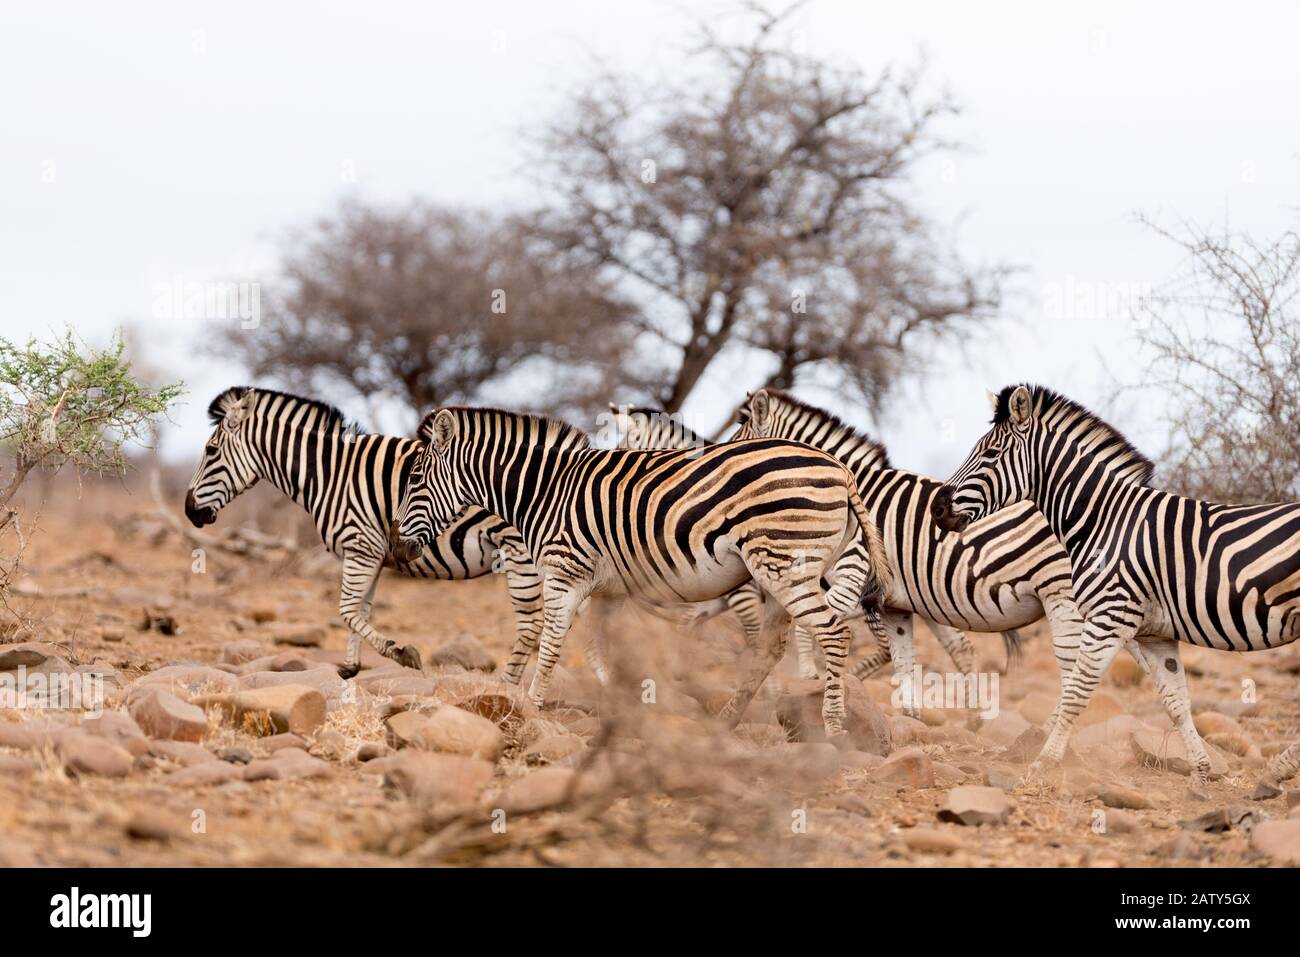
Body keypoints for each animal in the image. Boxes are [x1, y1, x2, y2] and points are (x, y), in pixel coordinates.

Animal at [184, 387, 550, 680]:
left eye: (211, 451)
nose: (189, 510)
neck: (330, 474)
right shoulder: (372, 554)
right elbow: (360, 610)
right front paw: (351, 668)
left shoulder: (360, 546)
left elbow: (346, 610)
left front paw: (401, 653)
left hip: (521, 555)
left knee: (532, 625)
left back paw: (510, 685)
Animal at [393, 406, 893, 736]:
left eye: (414, 480)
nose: (397, 546)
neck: (546, 490)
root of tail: (841, 469)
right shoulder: (609, 590)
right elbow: (604, 650)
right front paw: (623, 710)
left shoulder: (565, 571)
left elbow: (551, 643)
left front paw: (531, 708)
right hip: (780, 575)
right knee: (772, 646)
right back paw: (729, 719)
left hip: (785, 565)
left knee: (833, 633)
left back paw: (832, 729)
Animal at [932, 383, 1300, 790]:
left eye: (991, 454)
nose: (936, 508)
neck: (1105, 519)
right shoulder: (1153, 633)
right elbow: (1176, 701)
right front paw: (1201, 772)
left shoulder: (1109, 617)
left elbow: (1076, 693)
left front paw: (1043, 764)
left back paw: (1279, 771)